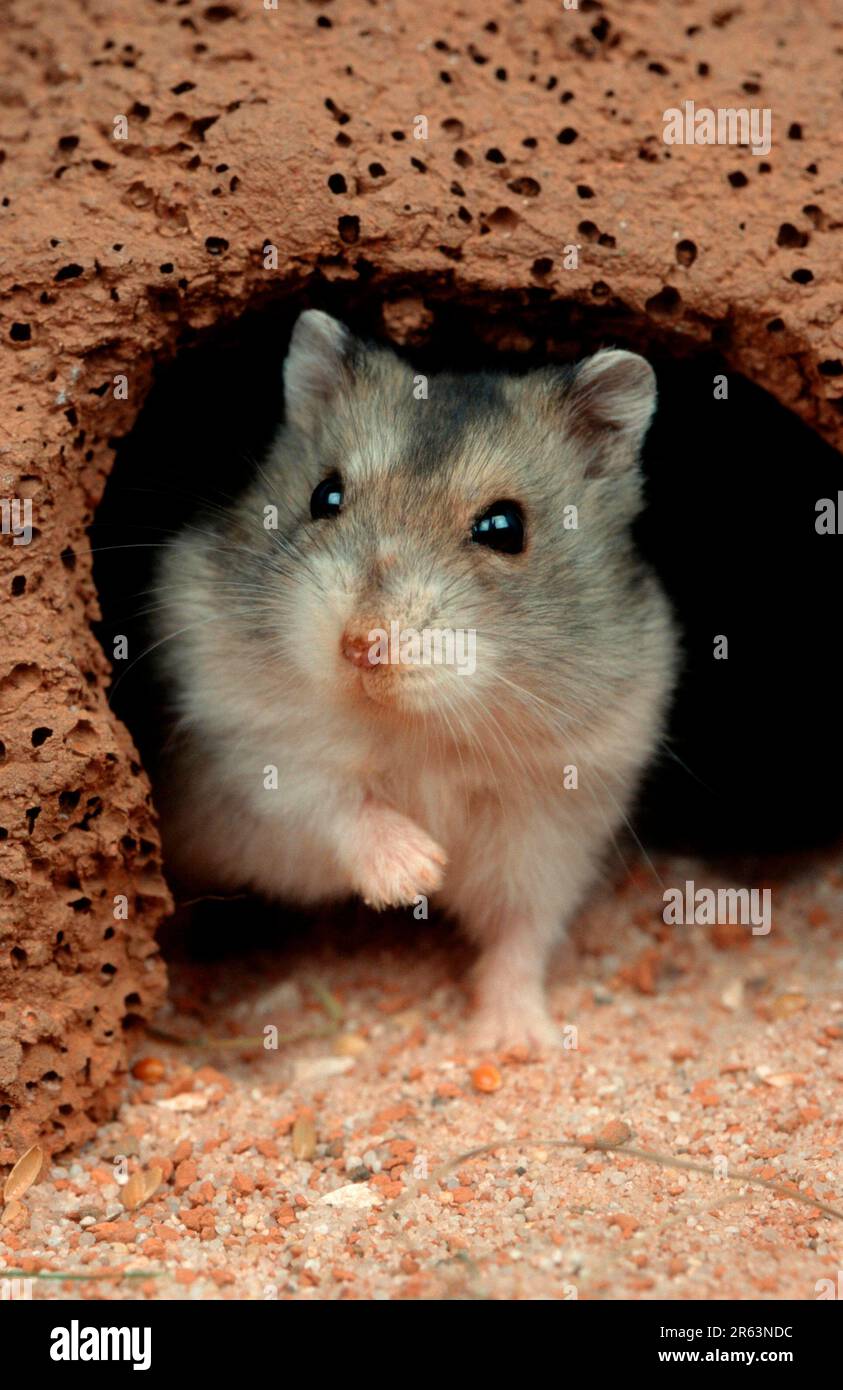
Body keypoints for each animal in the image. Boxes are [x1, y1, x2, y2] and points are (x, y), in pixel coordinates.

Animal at [151, 309, 678, 1049]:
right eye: (324, 495)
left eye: (504, 527)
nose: (360, 646)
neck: (418, 730)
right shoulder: (249, 750)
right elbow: (334, 799)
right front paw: (418, 873)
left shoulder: (553, 818)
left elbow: (523, 931)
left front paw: (514, 1041)